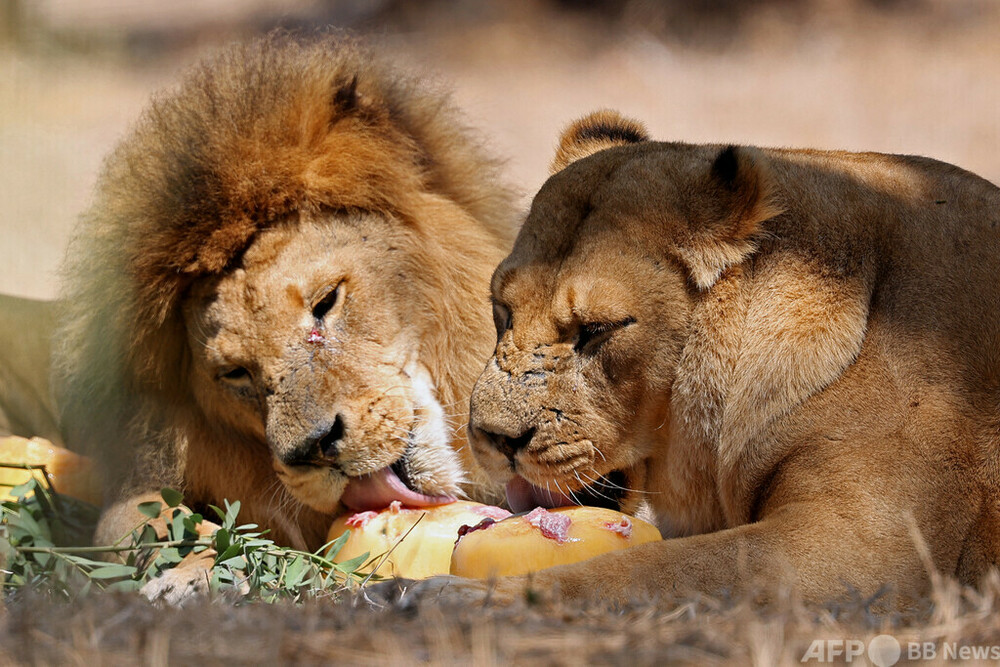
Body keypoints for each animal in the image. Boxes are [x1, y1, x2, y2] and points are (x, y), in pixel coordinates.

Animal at [52, 35, 516, 599]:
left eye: (326, 302)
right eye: (235, 373)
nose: (314, 450)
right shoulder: (142, 476)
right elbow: (145, 525)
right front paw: (203, 570)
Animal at [453, 110, 1000, 608]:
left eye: (597, 330)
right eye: (502, 309)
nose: (494, 439)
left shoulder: (875, 550)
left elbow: (658, 567)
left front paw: (467, 596)